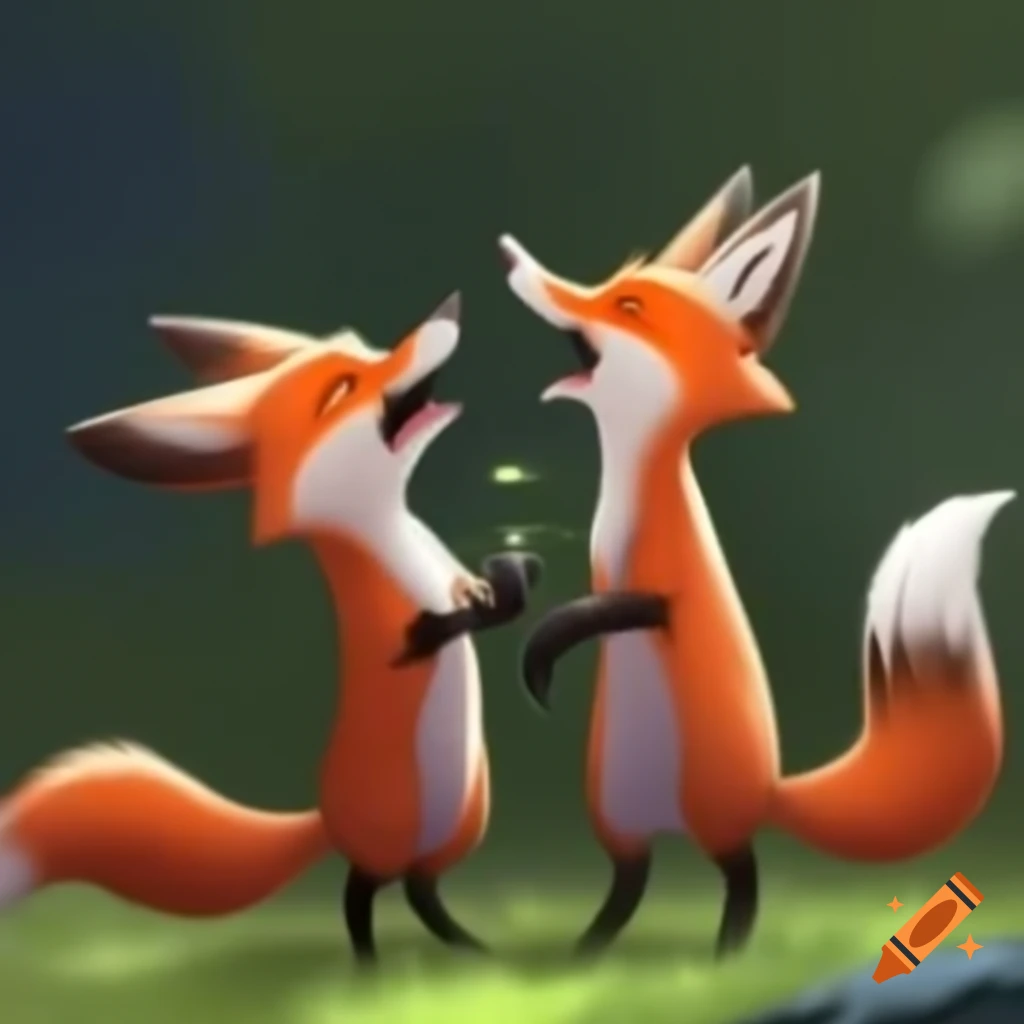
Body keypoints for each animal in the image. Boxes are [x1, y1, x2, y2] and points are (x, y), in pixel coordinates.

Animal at [0, 294, 543, 963]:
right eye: (344, 387)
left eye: (366, 349)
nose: (450, 308)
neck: (397, 535)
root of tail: (327, 819)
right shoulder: (397, 624)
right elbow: (442, 628)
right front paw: (482, 599)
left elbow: (487, 600)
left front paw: (504, 582)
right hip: (396, 837)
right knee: (360, 899)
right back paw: (373, 969)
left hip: (458, 825)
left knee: (419, 893)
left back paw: (475, 953)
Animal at [497, 167, 1013, 958]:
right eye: (613, 284)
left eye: (626, 304)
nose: (510, 256)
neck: (629, 503)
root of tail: (771, 789)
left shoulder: (660, 589)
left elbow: (612, 610)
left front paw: (542, 656)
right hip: (614, 813)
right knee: (630, 883)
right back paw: (588, 953)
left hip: (711, 817)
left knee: (741, 877)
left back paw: (725, 957)